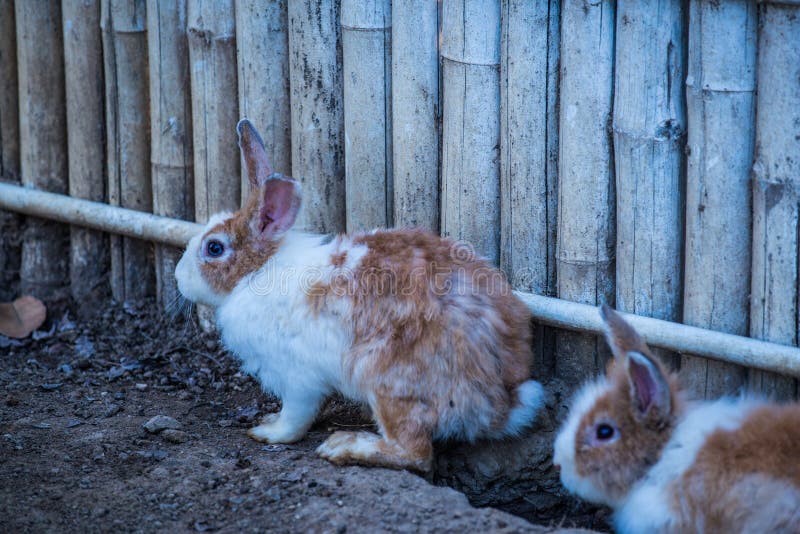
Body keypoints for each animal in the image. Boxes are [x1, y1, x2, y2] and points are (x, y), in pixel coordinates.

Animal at [175, 118, 544, 472]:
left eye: (214, 248)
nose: (178, 276)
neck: (256, 272)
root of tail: (501, 403)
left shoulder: (297, 375)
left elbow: (295, 416)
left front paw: (269, 431)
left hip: (387, 383)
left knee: (415, 453)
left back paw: (345, 446)